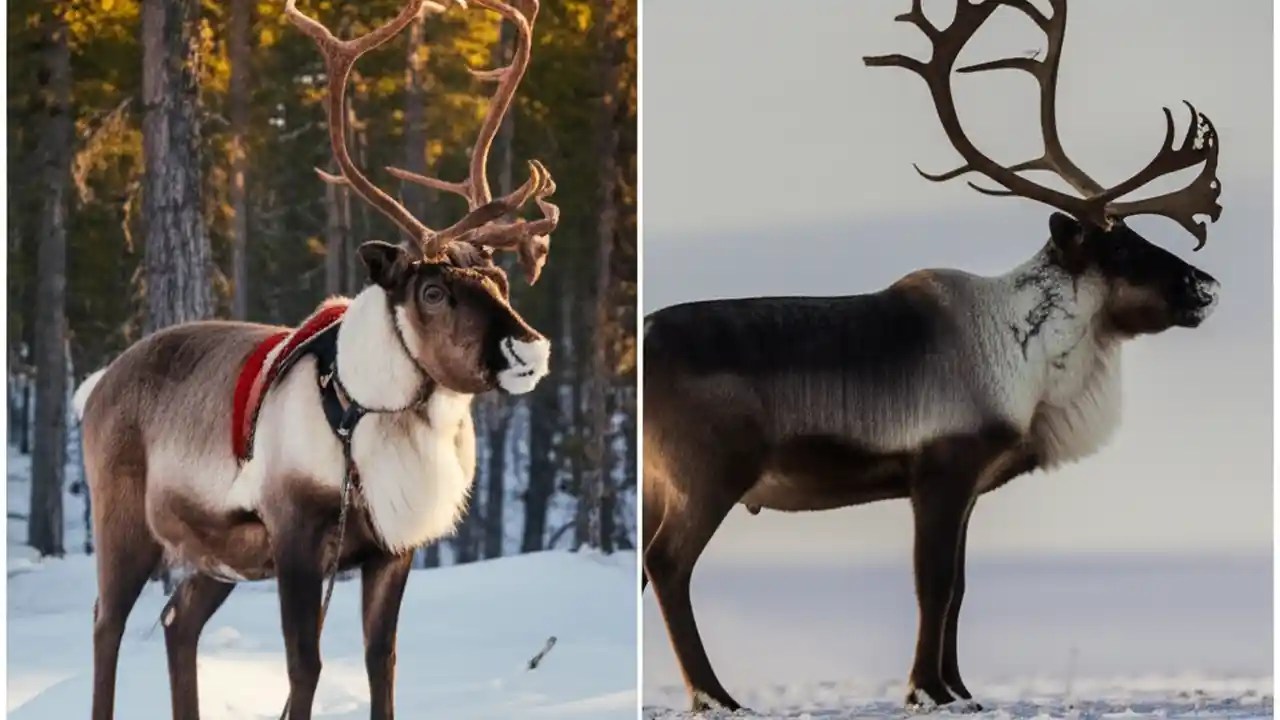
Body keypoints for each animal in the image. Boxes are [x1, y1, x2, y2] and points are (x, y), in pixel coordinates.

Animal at [72, 1, 561, 718]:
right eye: (433, 291)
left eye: (499, 279)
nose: (529, 348)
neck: (370, 413)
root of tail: (99, 382)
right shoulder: (297, 534)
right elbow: (305, 666)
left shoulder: (390, 550)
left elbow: (382, 662)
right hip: (126, 520)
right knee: (107, 623)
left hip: (221, 555)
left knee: (176, 621)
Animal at [642, 0, 1223, 712]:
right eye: (1122, 250)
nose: (1207, 287)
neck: (1025, 363)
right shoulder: (941, 467)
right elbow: (935, 582)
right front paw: (925, 688)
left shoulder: (972, 484)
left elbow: (962, 589)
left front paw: (959, 688)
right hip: (709, 473)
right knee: (668, 564)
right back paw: (716, 695)